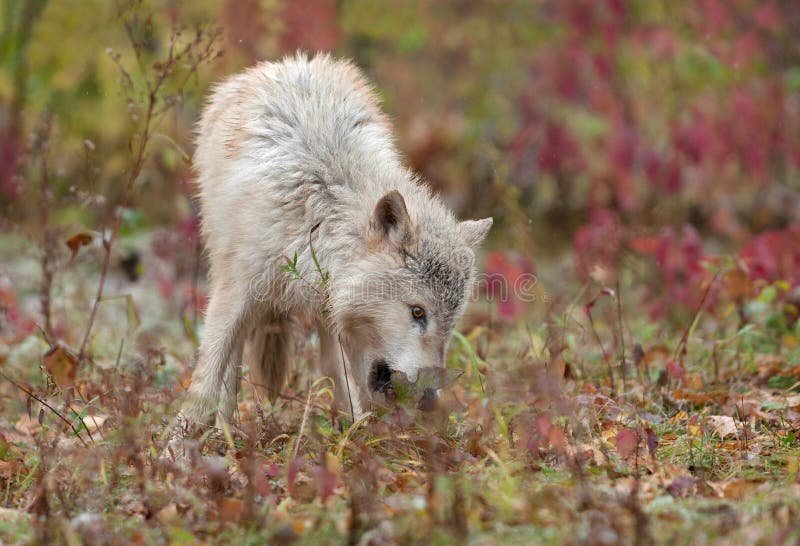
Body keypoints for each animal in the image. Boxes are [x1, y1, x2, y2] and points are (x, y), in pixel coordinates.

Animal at [179, 53, 492, 430]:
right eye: (417, 312)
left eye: (452, 321)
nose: (430, 401)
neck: (319, 214)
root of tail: (290, 62)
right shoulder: (237, 288)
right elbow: (207, 376)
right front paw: (178, 441)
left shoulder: (338, 316)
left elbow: (349, 385)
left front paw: (360, 438)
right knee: (234, 360)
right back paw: (227, 427)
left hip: (331, 317)